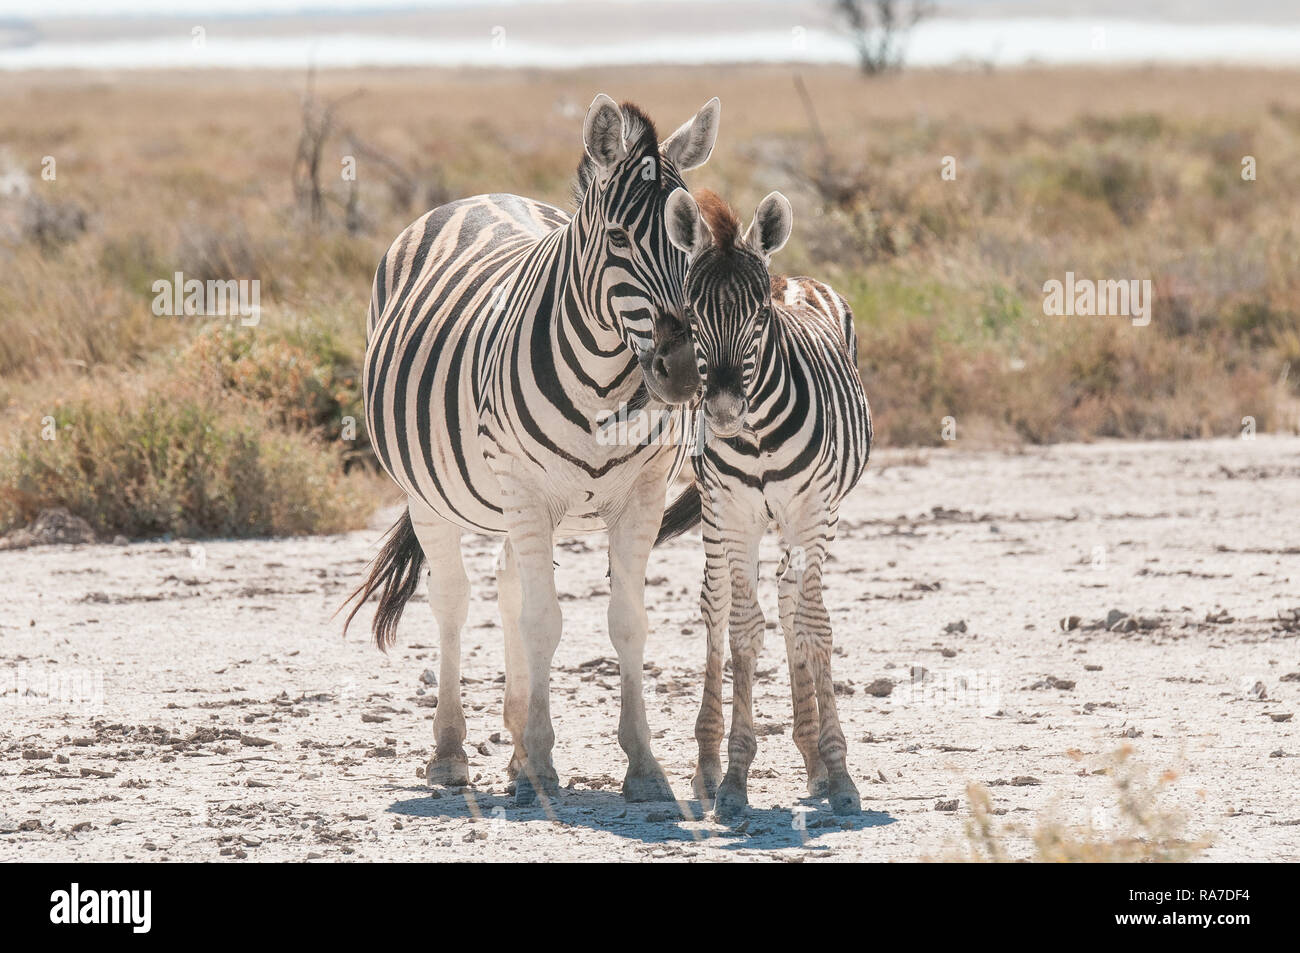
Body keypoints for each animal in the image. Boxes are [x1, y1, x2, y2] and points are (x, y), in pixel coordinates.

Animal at [343, 95, 721, 806]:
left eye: (694, 241)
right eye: (619, 240)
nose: (683, 372)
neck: (604, 379)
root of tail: (485, 195)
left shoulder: (642, 496)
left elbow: (627, 622)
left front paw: (642, 767)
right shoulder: (524, 486)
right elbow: (544, 622)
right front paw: (543, 764)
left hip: (513, 507)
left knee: (507, 588)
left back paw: (514, 747)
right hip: (437, 494)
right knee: (455, 600)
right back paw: (452, 754)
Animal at [657, 188, 872, 818]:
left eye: (757, 317)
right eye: (693, 314)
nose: (724, 411)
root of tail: (789, 278)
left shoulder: (811, 511)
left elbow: (814, 625)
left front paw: (838, 770)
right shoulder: (732, 515)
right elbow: (742, 628)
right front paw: (733, 777)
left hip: (816, 517)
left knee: (792, 603)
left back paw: (814, 760)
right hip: (717, 517)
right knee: (717, 605)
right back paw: (707, 765)